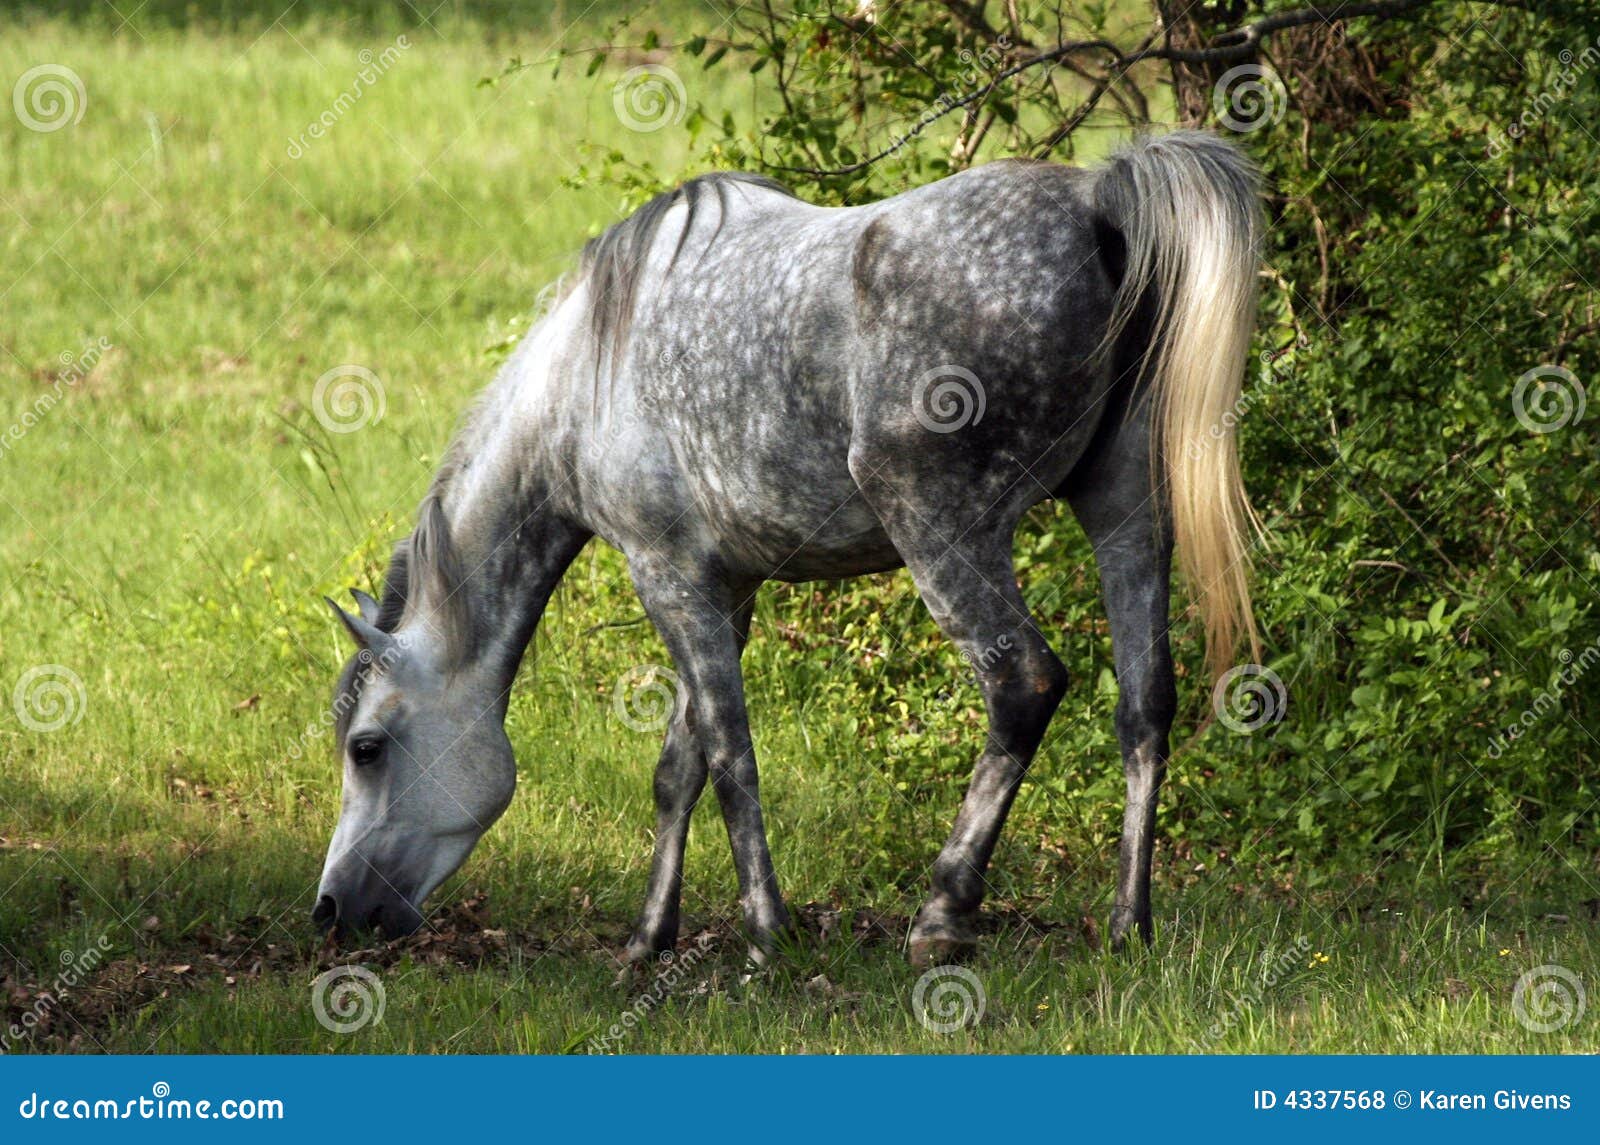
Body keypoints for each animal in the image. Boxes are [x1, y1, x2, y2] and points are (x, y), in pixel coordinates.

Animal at [313, 129, 1262, 967]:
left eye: (367, 746)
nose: (331, 911)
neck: (588, 375)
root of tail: (1096, 204)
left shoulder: (670, 578)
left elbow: (731, 754)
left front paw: (768, 933)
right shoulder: (723, 590)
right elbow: (681, 764)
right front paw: (648, 937)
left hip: (944, 532)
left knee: (1023, 685)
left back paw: (944, 912)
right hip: (1124, 515)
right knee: (1145, 703)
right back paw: (1128, 925)